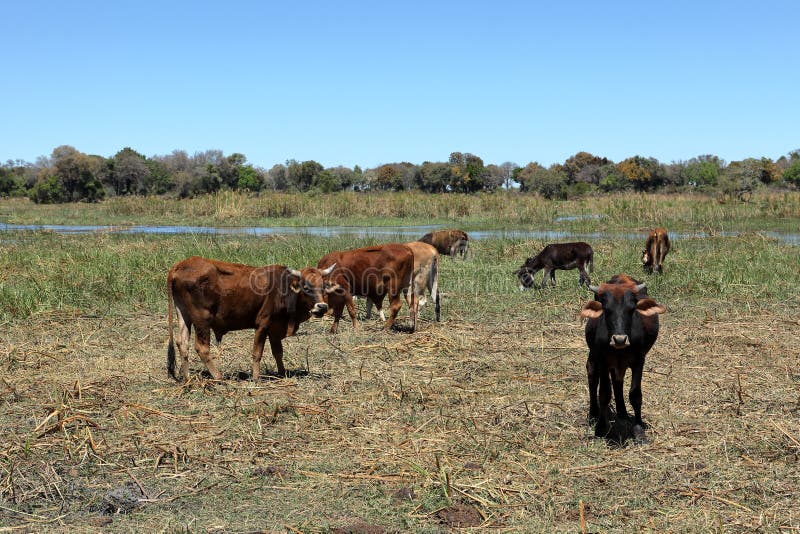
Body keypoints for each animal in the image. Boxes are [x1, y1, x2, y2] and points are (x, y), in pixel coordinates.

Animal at [166, 256, 338, 381]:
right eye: (306, 287)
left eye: (323, 286)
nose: (322, 307)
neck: (284, 288)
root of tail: (181, 265)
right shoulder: (263, 324)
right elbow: (257, 353)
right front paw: (256, 377)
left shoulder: (275, 328)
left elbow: (278, 352)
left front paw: (282, 373)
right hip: (202, 320)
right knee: (201, 347)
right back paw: (218, 376)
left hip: (183, 315)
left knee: (183, 343)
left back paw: (187, 377)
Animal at [579, 274, 666, 440]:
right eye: (606, 310)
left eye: (631, 309)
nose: (619, 339)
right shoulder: (603, 361)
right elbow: (604, 393)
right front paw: (601, 428)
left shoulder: (639, 361)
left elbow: (635, 395)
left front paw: (638, 430)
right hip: (594, 356)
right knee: (592, 375)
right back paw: (593, 414)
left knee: (617, 381)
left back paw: (622, 412)